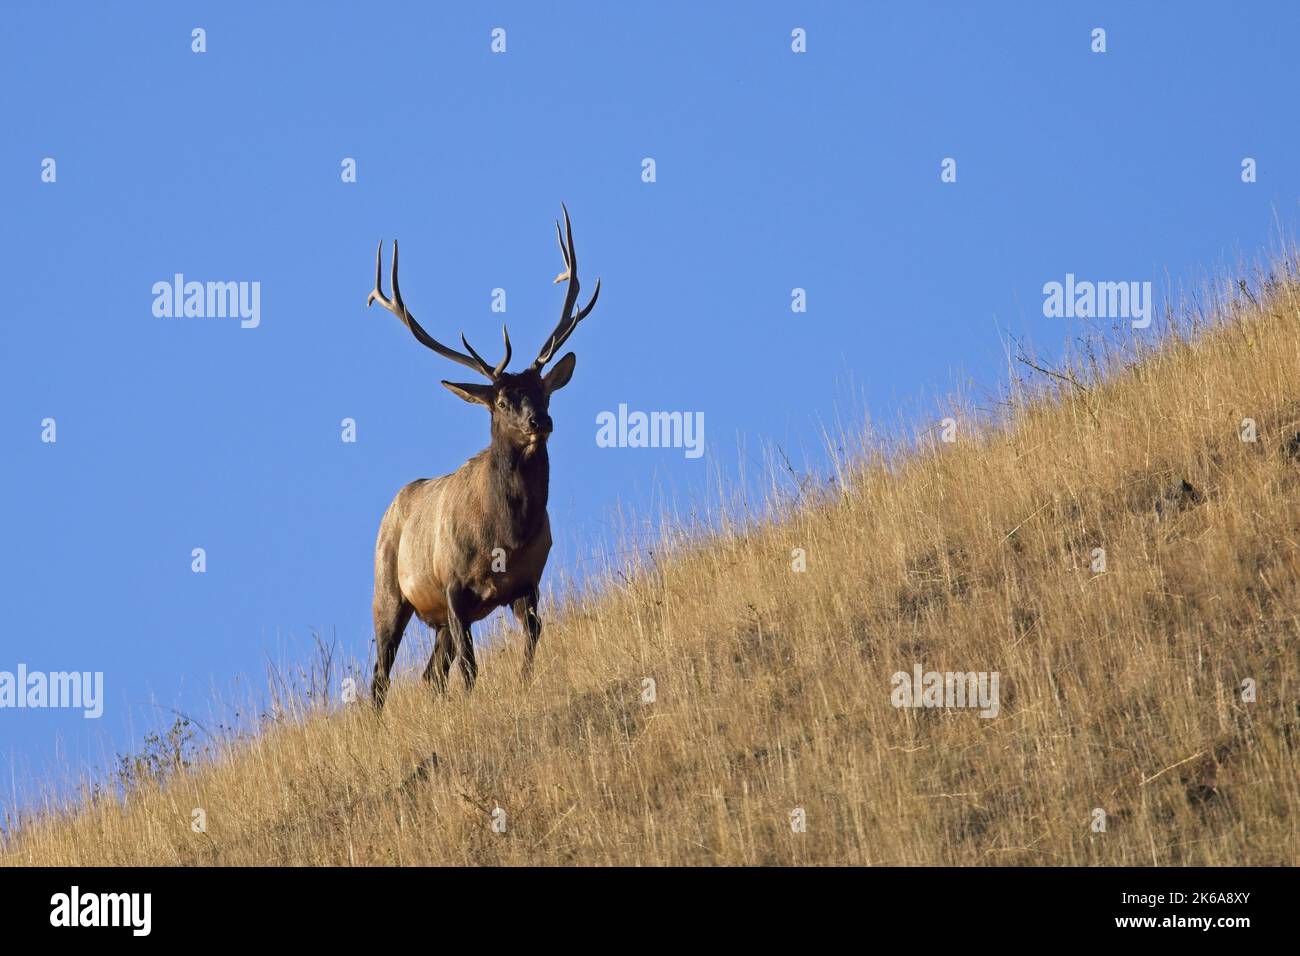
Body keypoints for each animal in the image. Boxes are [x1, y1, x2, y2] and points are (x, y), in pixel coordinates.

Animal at [365, 205, 601, 709]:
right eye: (504, 401)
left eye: (543, 393)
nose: (540, 422)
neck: (505, 536)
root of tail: (393, 505)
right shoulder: (453, 586)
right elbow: (471, 668)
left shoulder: (529, 582)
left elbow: (531, 644)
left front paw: (524, 690)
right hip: (388, 591)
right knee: (380, 677)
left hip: (434, 617)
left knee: (431, 674)